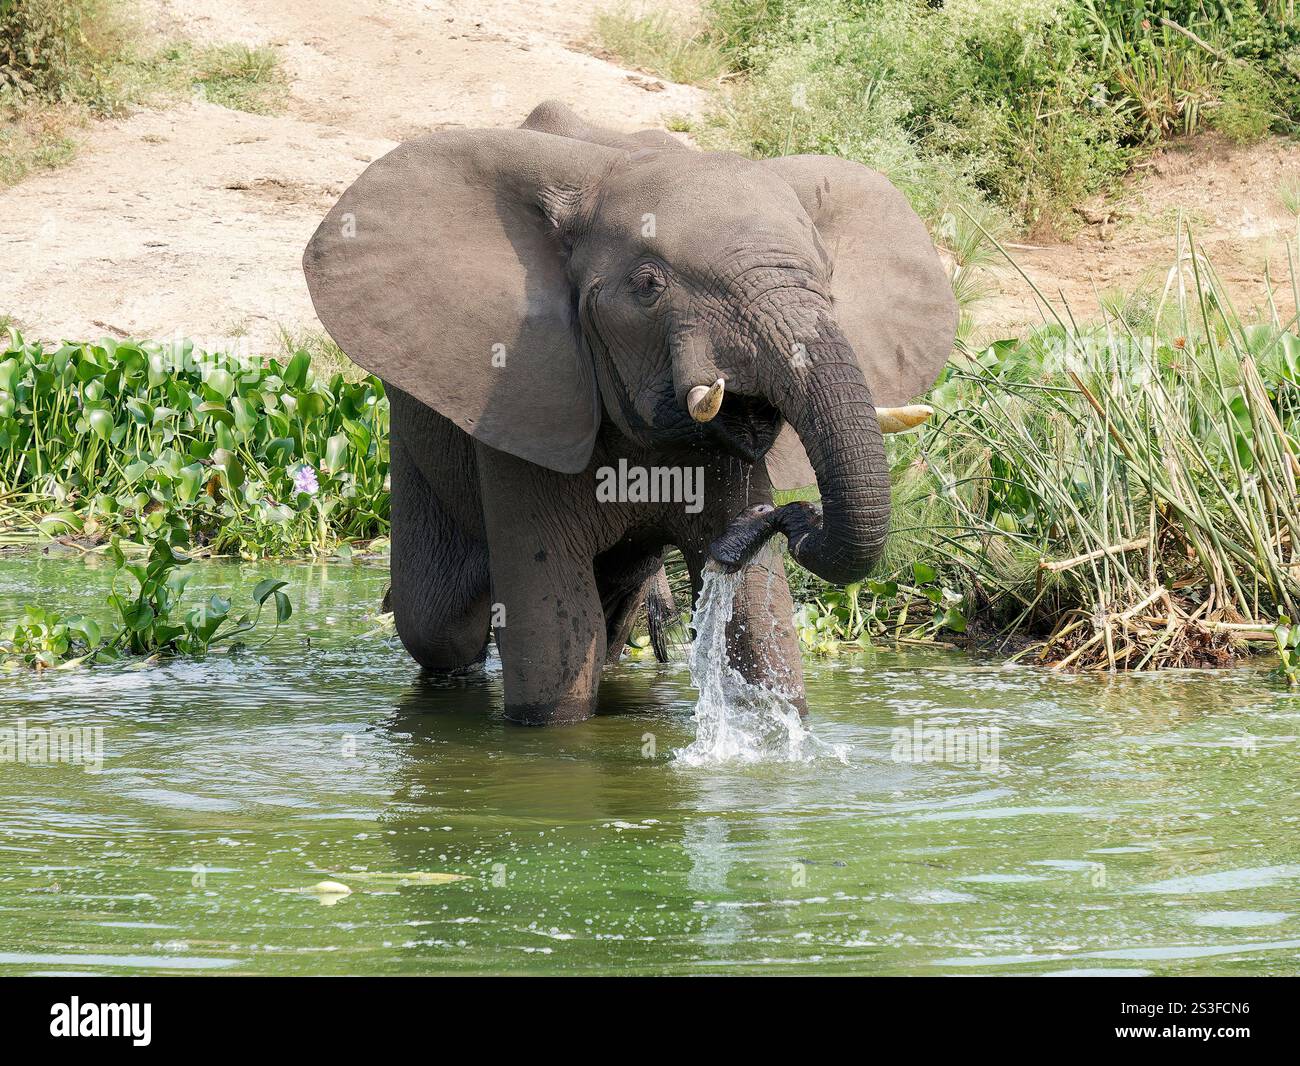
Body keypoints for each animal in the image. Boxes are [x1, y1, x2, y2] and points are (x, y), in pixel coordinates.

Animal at [303, 101, 957, 725]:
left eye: (828, 280)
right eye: (648, 285)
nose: (788, 517)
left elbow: (757, 618)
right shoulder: (521, 398)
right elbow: (554, 636)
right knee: (437, 623)